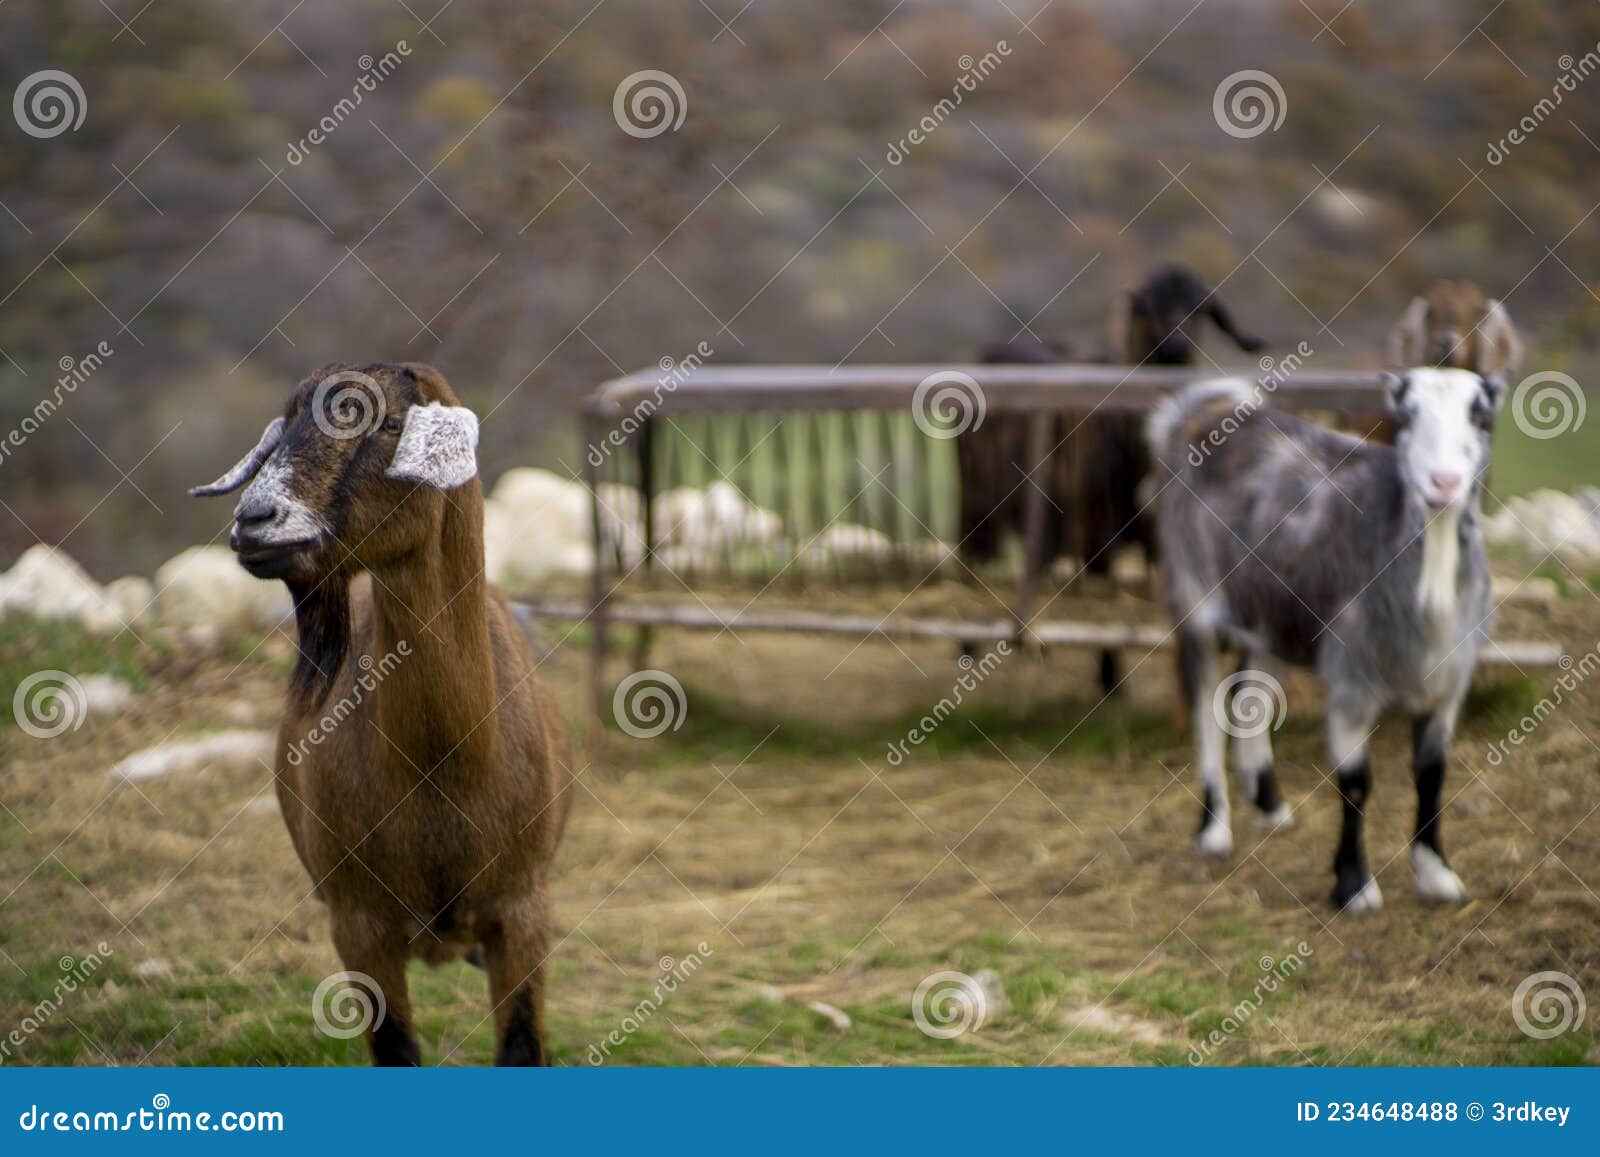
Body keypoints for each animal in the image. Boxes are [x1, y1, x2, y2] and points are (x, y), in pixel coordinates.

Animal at [190, 362, 573, 1064]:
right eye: (289, 422)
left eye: (391, 423)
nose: (256, 520)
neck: (443, 775)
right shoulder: (358, 926)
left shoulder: (524, 912)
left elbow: (522, 1045)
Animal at [1147, 368, 1502, 910]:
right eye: (1408, 415)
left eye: (1481, 415)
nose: (1444, 484)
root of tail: (1201, 414)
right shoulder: (1350, 680)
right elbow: (1356, 784)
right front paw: (1354, 885)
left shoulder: (1447, 684)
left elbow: (1432, 775)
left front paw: (1437, 872)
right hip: (1194, 599)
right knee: (1206, 709)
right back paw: (1213, 829)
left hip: (1271, 614)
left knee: (1251, 693)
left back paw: (1269, 803)